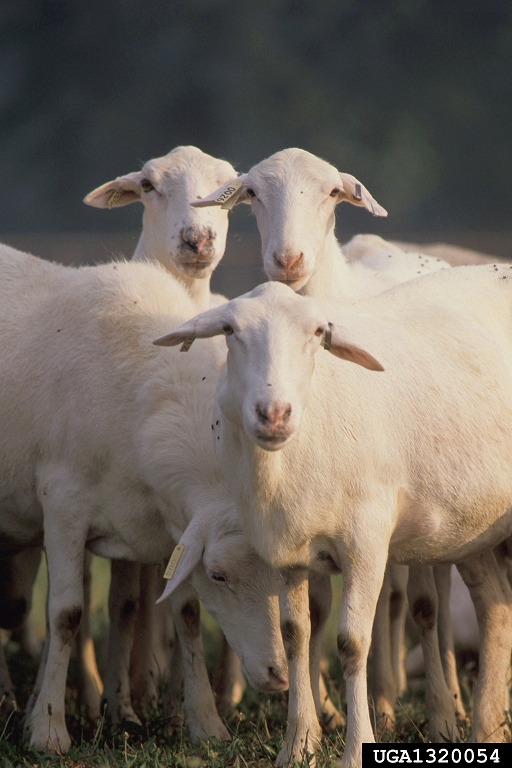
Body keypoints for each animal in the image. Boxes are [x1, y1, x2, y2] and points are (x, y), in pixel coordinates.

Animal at [0, 250, 288, 753]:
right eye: (220, 574)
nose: (277, 676)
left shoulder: (169, 527)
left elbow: (186, 614)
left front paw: (205, 722)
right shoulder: (63, 505)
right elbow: (66, 614)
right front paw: (49, 730)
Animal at [156, 266, 512, 767]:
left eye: (318, 334)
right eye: (229, 330)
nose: (274, 414)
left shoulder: (367, 540)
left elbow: (351, 643)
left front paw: (357, 746)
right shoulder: (286, 547)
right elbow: (295, 633)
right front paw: (298, 744)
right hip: (472, 525)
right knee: (496, 608)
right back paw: (488, 729)